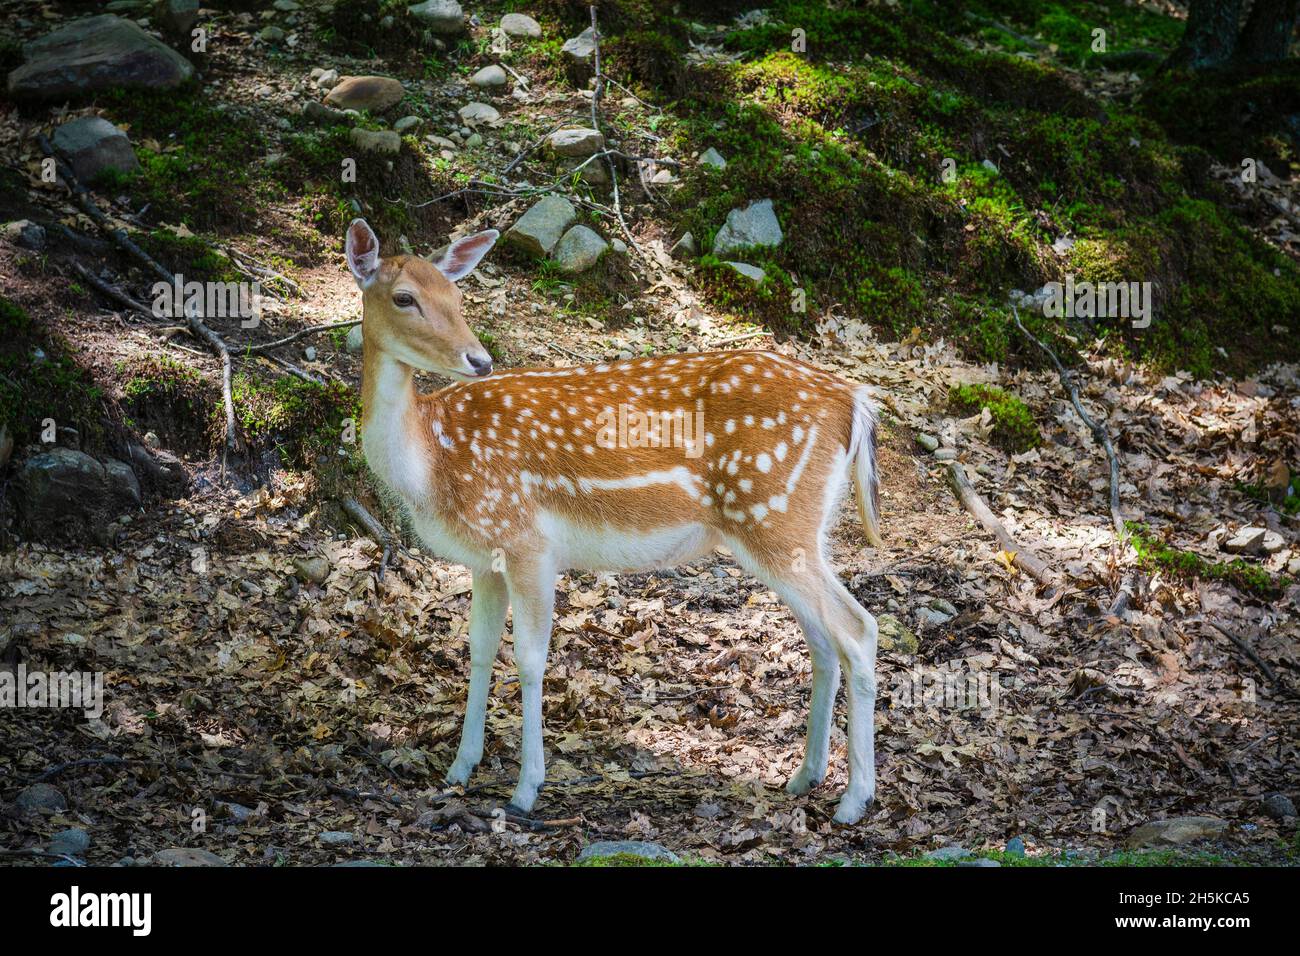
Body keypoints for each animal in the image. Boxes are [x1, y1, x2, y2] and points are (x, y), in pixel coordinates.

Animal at [345, 218, 884, 824]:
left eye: (457, 297)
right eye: (404, 297)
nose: (478, 359)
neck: (431, 463)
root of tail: (857, 403)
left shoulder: (528, 542)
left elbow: (530, 660)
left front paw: (526, 789)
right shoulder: (485, 559)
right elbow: (479, 651)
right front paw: (459, 770)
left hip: (774, 516)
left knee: (858, 629)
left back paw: (854, 799)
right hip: (793, 529)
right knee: (823, 640)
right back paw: (804, 777)